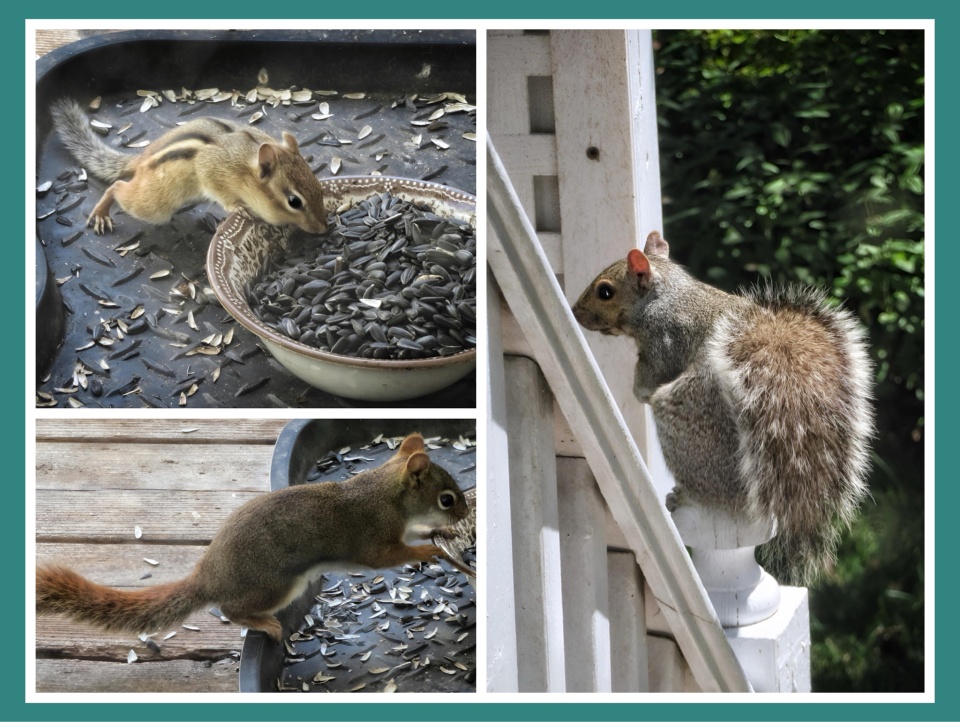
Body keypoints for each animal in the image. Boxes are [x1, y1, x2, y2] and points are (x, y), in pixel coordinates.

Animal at [36, 433, 468, 641]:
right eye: (446, 499)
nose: (463, 513)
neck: (387, 494)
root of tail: (208, 577)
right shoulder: (374, 536)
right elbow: (386, 557)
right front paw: (428, 549)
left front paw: (439, 532)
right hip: (274, 585)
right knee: (232, 609)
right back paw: (265, 625)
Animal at [49, 97, 328, 236]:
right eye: (294, 202)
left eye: (319, 188)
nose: (323, 228)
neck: (245, 163)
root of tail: (140, 160)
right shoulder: (211, 170)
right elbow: (222, 193)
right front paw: (237, 207)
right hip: (153, 205)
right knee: (117, 187)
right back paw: (101, 212)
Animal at [572, 231, 874, 585]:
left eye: (605, 292)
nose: (575, 311)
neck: (668, 296)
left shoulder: (664, 343)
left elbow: (649, 380)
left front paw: (638, 390)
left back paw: (683, 496)